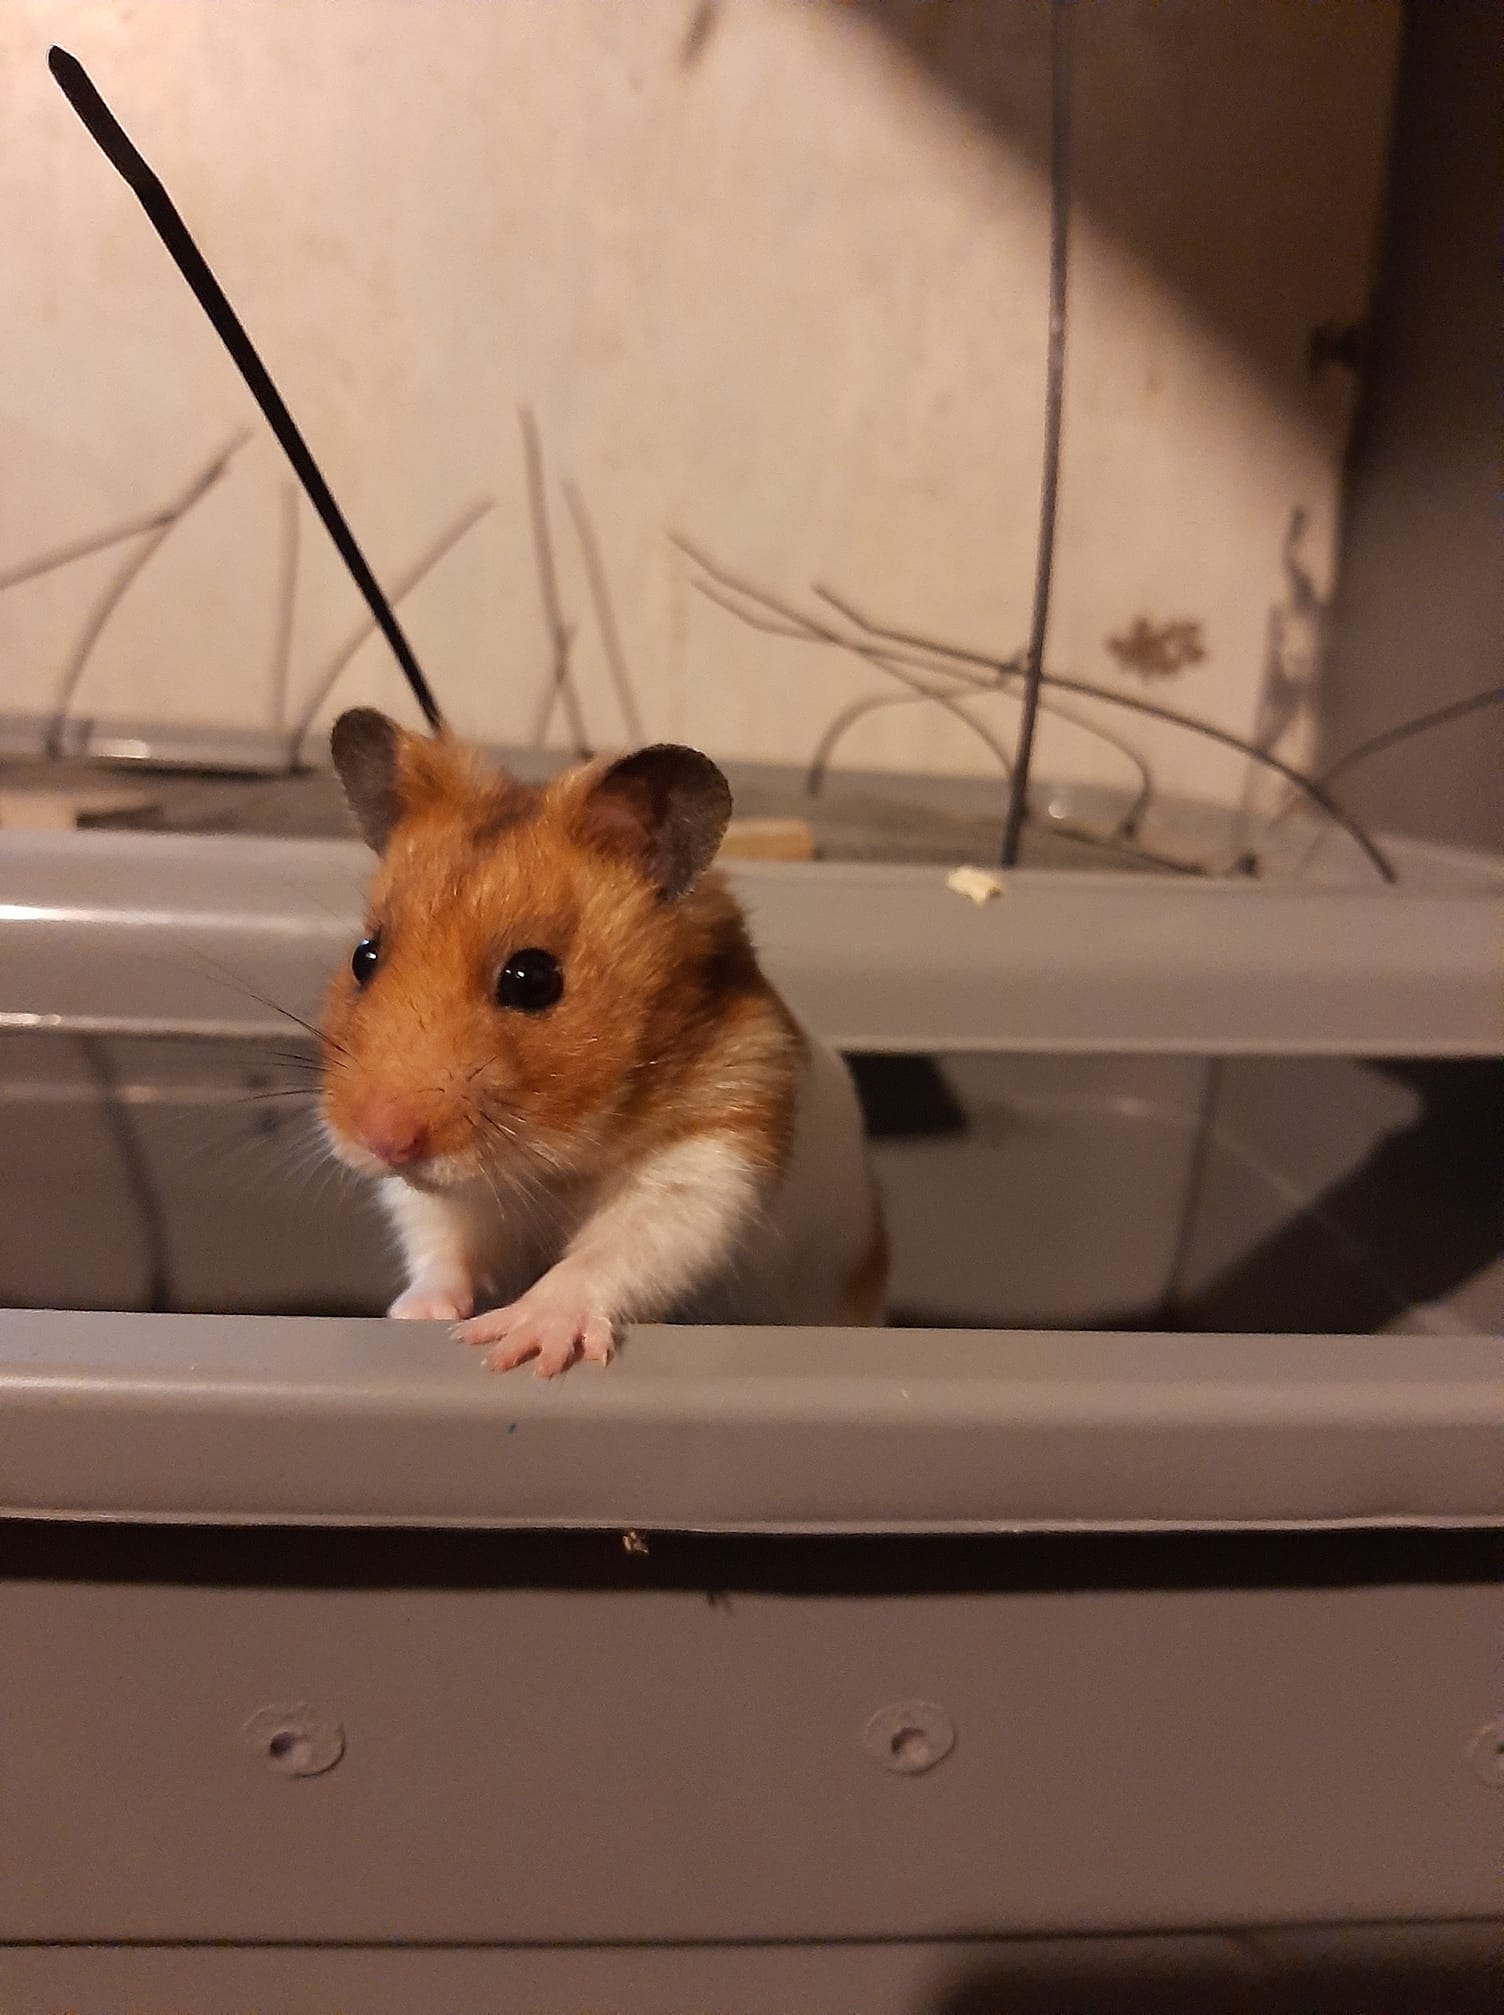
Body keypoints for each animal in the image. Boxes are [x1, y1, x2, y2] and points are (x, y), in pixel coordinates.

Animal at [319, 708, 887, 1375]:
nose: (381, 1141)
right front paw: (416, 1316)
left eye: (533, 978)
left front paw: (521, 1344)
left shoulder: (714, 1150)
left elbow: (614, 1250)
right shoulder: (447, 1202)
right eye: (364, 957)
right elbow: (440, 1242)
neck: (553, 1167)